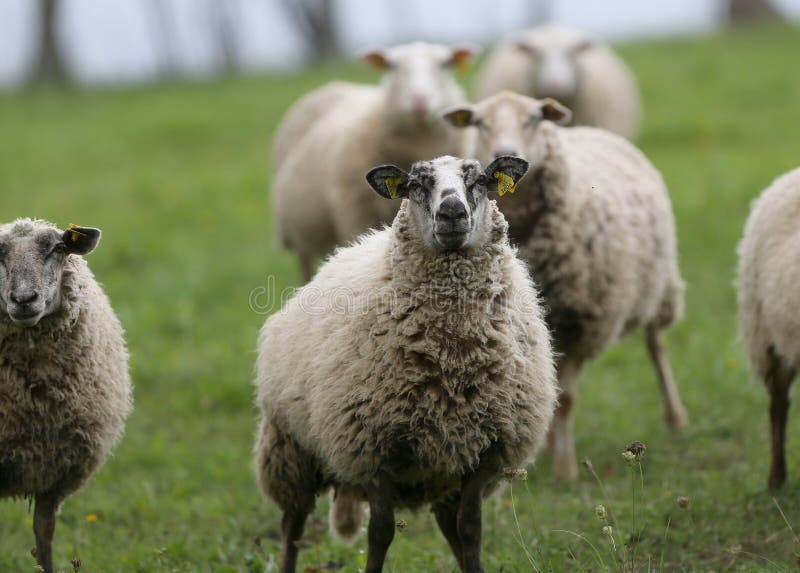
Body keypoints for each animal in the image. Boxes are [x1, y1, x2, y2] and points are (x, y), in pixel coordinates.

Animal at [254, 155, 557, 573]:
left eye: (480, 180)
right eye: (416, 184)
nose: (451, 212)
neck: (453, 356)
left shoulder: (485, 453)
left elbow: (470, 530)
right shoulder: (372, 451)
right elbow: (380, 533)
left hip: (445, 469)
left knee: (449, 524)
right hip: (290, 451)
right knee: (292, 526)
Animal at [272, 42, 476, 282]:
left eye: (445, 63)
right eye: (392, 66)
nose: (419, 102)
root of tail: (333, 85)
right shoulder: (358, 215)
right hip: (298, 237)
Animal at [443, 91, 687, 480]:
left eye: (533, 119)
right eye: (479, 122)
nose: (505, 152)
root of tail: (592, 129)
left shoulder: (578, 321)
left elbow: (568, 399)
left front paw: (565, 470)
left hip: (656, 283)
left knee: (655, 345)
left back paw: (676, 418)